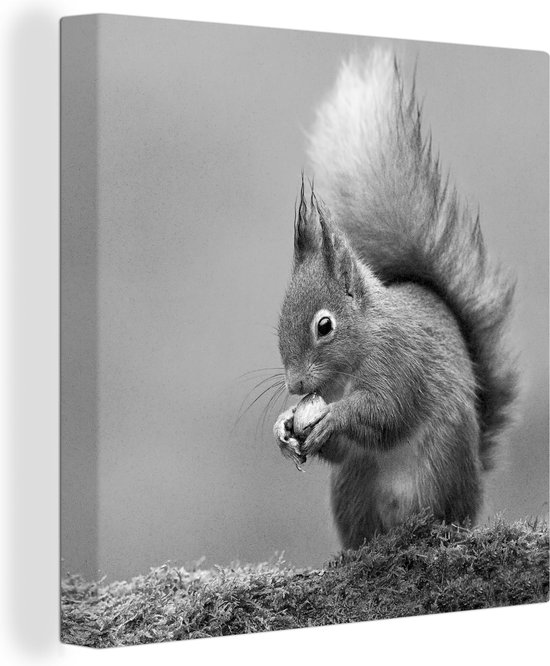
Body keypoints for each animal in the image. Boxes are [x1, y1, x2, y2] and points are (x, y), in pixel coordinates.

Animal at [273, 50, 517, 549]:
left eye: (324, 325)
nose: (295, 386)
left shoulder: (400, 361)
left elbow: (386, 413)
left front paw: (334, 417)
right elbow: (344, 445)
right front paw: (284, 428)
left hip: (443, 463)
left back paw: (433, 531)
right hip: (351, 487)